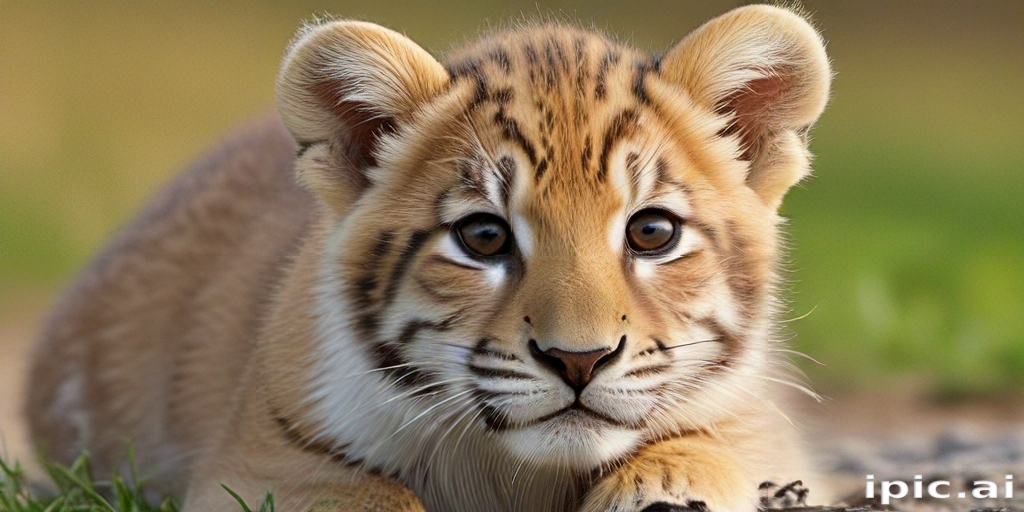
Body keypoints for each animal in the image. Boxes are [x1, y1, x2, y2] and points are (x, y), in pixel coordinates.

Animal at [25, 4, 832, 512]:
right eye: (484, 238)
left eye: (652, 233)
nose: (578, 360)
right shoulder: (260, 456)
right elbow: (370, 497)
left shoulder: (762, 427)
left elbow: (702, 450)